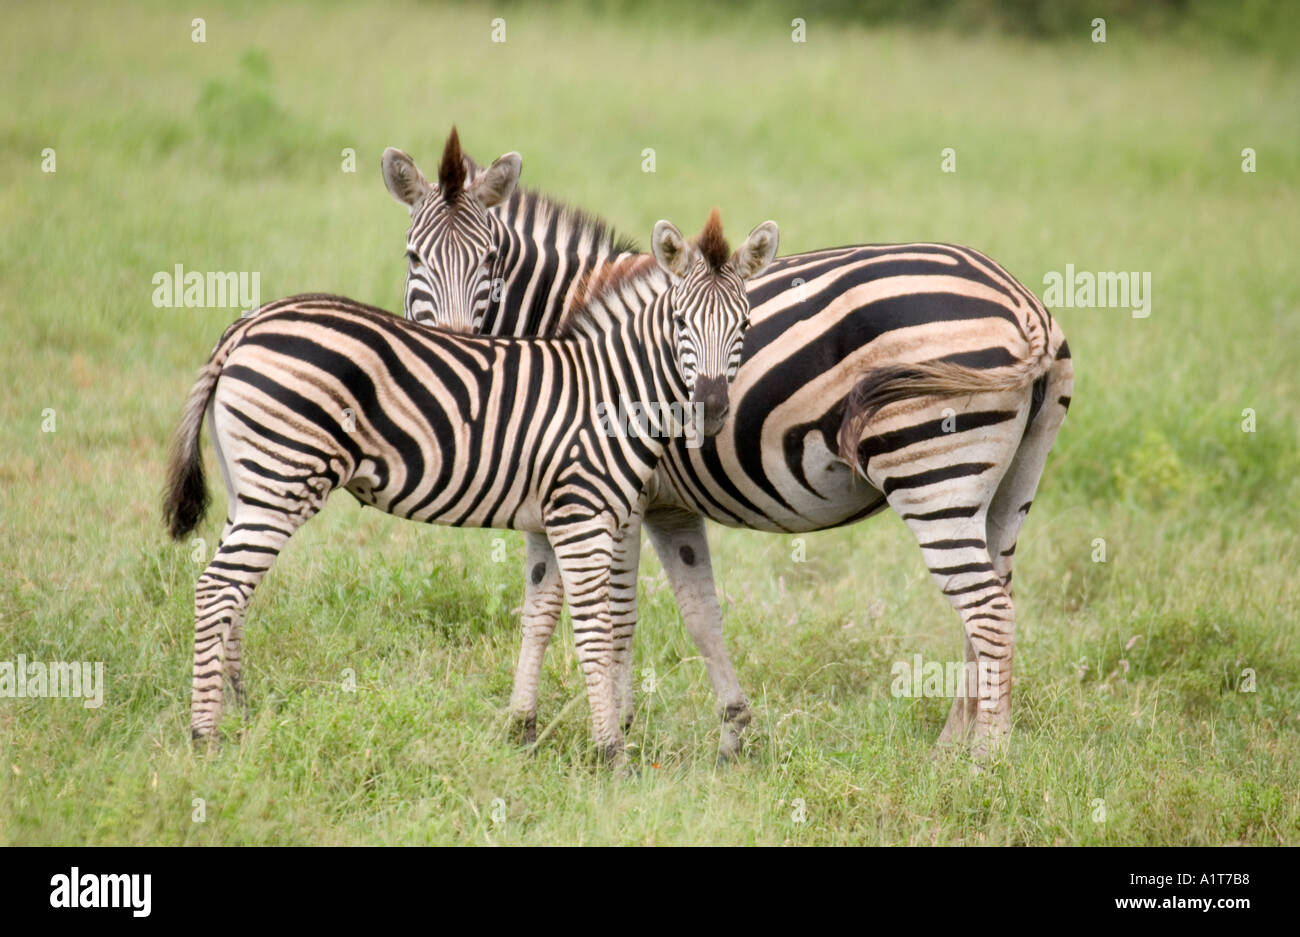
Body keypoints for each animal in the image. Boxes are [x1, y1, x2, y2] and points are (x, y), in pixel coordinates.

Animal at [161, 212, 780, 758]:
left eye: (745, 327)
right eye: (680, 324)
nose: (712, 409)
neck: (613, 387)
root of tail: (248, 325)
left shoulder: (550, 520)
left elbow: (539, 616)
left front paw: (523, 733)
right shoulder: (583, 514)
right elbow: (596, 631)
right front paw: (611, 751)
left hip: (251, 485)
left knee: (235, 590)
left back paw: (241, 711)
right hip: (282, 478)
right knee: (218, 589)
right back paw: (204, 737)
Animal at [384, 131, 1072, 759]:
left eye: (490, 262)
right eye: (413, 259)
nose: (456, 351)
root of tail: (1024, 304)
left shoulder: (607, 493)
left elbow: (598, 609)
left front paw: (587, 730)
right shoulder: (652, 502)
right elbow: (689, 612)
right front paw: (720, 733)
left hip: (931, 470)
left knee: (987, 610)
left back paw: (985, 763)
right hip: (1010, 484)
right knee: (994, 601)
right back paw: (953, 747)